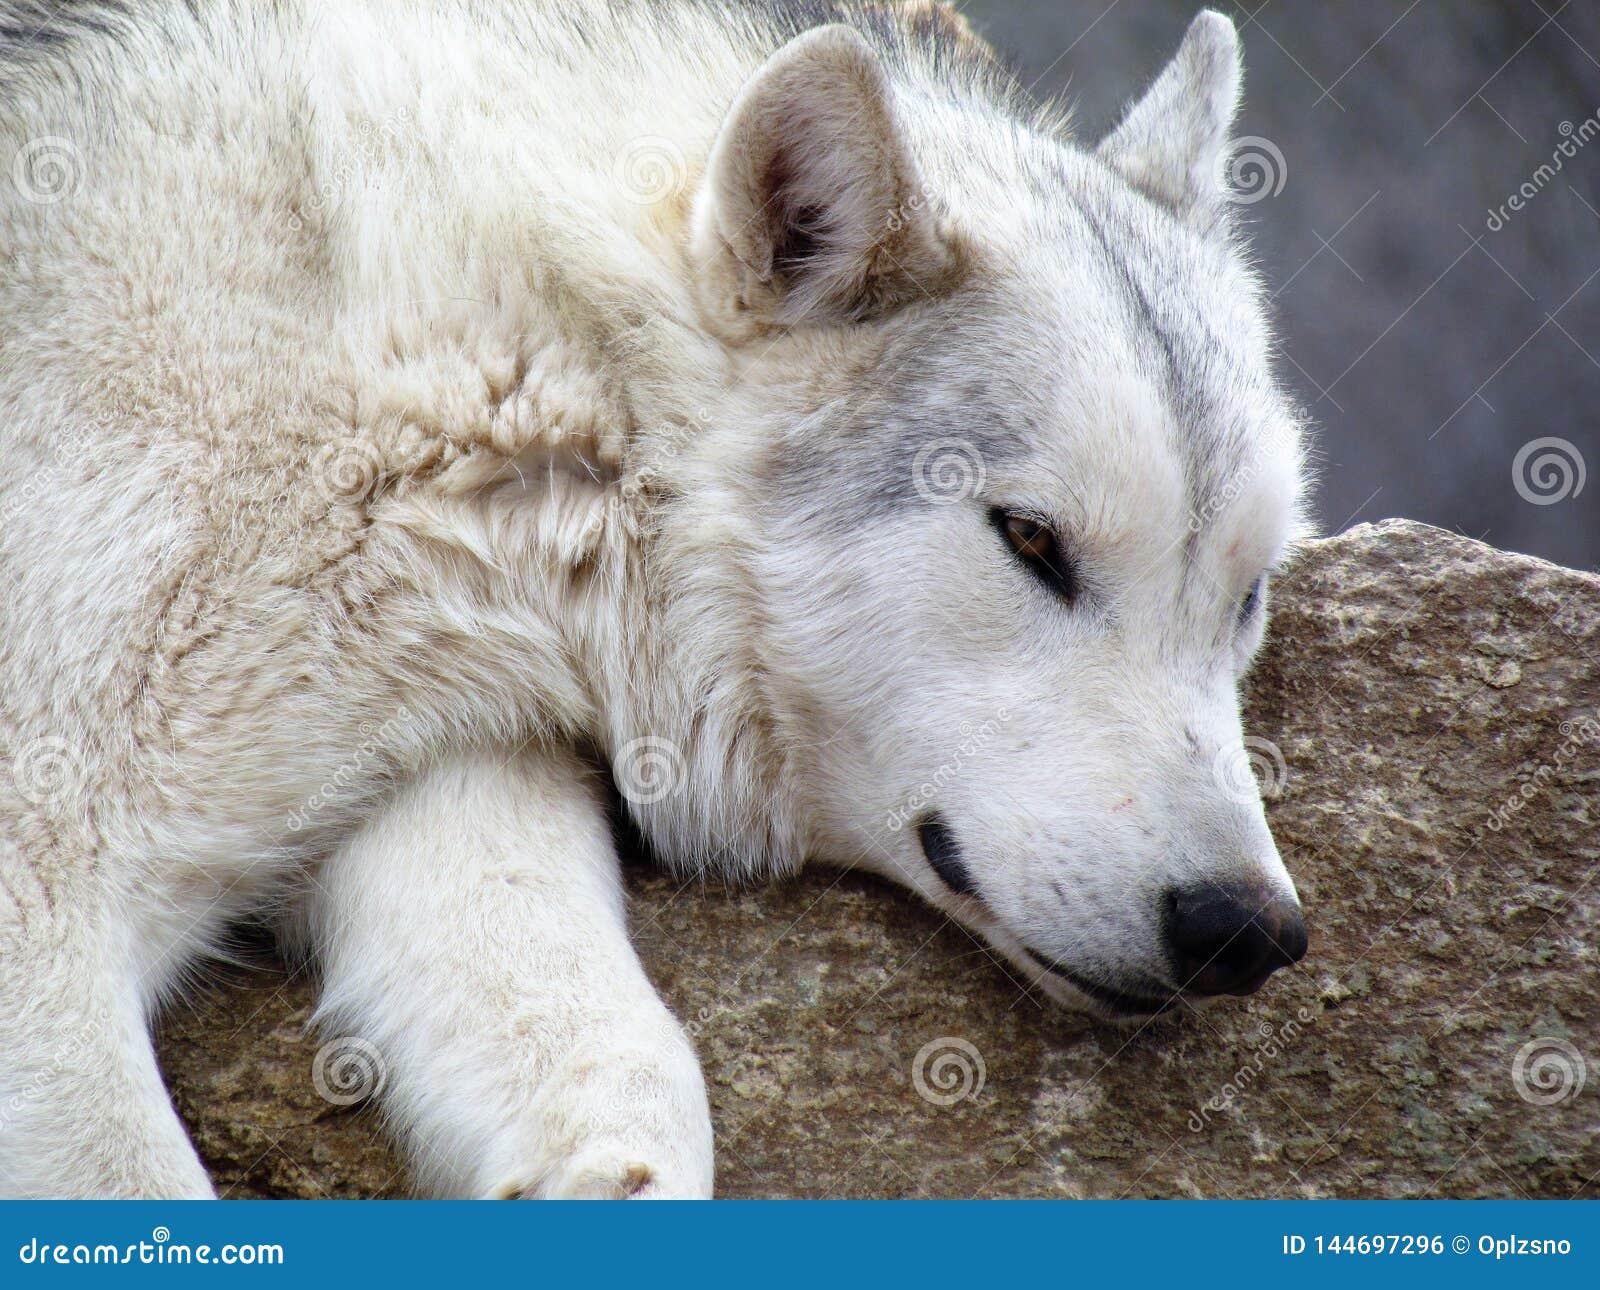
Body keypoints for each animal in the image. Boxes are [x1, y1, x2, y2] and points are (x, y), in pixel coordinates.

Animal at [0, 0, 1308, 1198]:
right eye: (1031, 541)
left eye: (1245, 594)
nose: (1247, 932)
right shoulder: (41, 902)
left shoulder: (443, 753)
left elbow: (631, 1078)